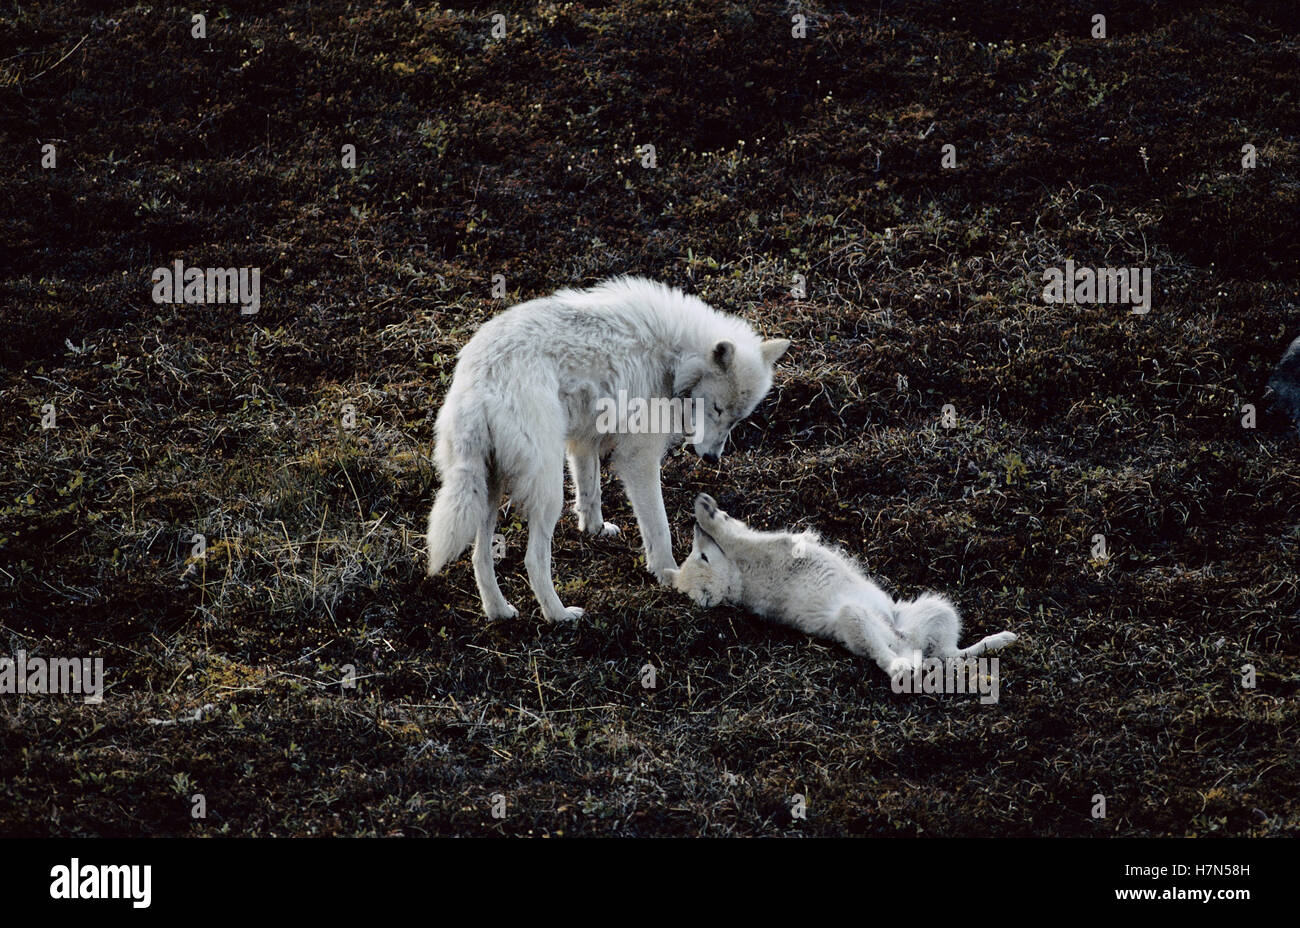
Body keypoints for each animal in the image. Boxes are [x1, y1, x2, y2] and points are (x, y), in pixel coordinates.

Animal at [425, 277, 790, 622]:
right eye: (716, 409)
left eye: (736, 419)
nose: (712, 458)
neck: (674, 357)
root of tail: (479, 382)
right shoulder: (638, 459)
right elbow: (659, 528)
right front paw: (669, 575)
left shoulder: (583, 442)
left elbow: (590, 493)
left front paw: (596, 531)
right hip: (546, 491)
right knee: (533, 560)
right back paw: (559, 615)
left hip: (490, 489)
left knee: (479, 557)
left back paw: (499, 611)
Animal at [664, 494, 1018, 678]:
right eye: (702, 556)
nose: (694, 531)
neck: (740, 579)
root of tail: (908, 646)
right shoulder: (763, 552)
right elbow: (738, 536)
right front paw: (707, 512)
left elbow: (739, 531)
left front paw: (707, 509)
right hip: (853, 619)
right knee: (886, 653)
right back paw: (902, 668)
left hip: (933, 610)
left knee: (950, 652)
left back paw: (1001, 639)